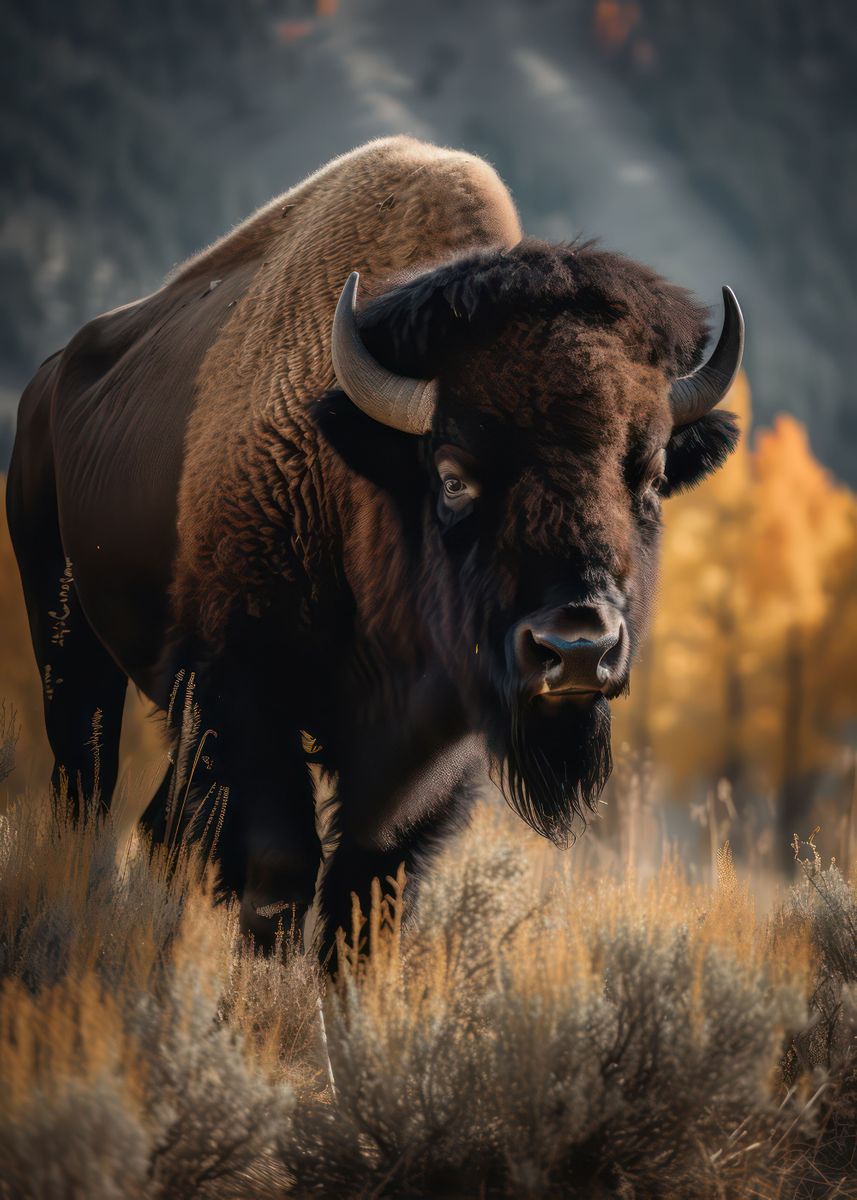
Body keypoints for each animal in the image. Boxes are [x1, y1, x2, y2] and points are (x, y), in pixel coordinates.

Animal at [7, 137, 742, 958]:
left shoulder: (431, 749)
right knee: (84, 782)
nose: (578, 648)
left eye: (649, 478)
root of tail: (47, 387)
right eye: (452, 477)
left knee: (158, 824)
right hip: (66, 638)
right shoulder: (237, 685)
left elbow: (369, 886)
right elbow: (280, 864)